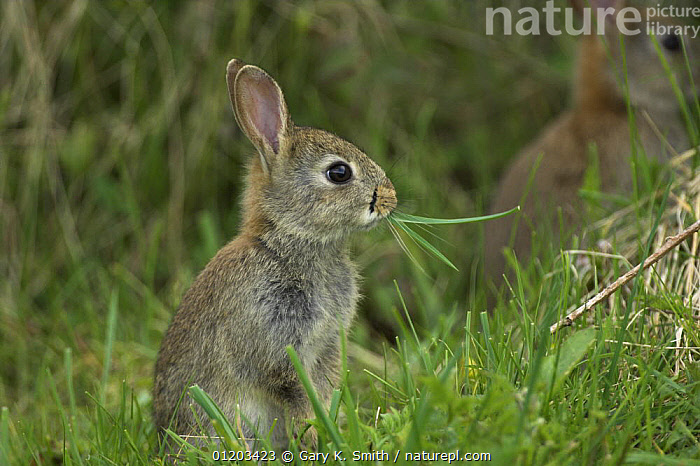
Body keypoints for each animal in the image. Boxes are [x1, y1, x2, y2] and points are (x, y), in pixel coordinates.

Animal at [153, 58, 397, 451]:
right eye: (339, 172)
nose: (389, 197)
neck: (287, 244)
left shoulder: (327, 346)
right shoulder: (272, 344)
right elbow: (294, 392)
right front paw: (314, 434)